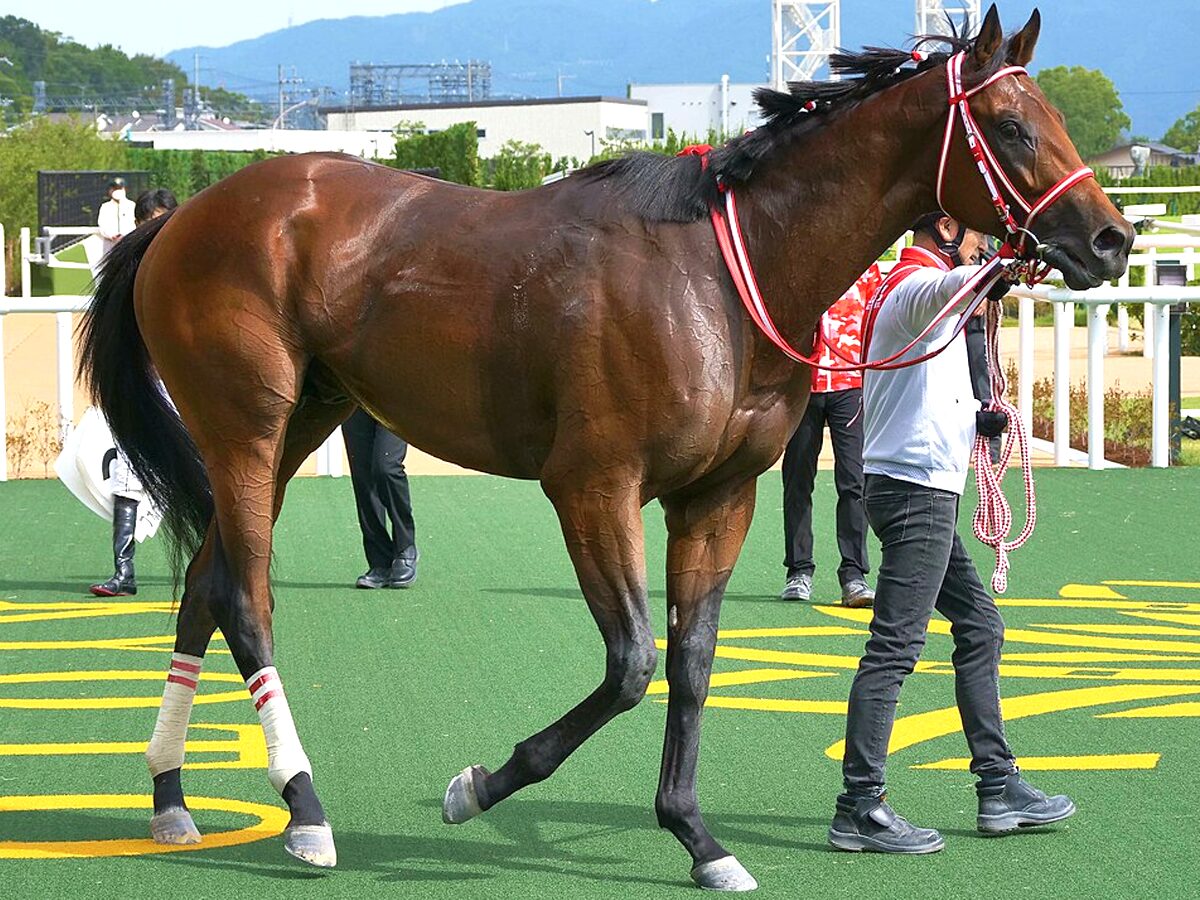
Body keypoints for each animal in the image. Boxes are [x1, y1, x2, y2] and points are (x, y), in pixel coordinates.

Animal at [79, 6, 1130, 890]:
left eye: (1050, 117)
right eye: (1013, 126)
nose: (1113, 239)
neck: (721, 273)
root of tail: (184, 217)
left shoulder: (720, 496)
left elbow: (693, 659)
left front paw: (698, 837)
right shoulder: (593, 485)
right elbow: (631, 662)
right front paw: (481, 785)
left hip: (305, 416)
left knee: (205, 584)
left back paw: (170, 796)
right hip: (245, 423)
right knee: (246, 601)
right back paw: (303, 809)